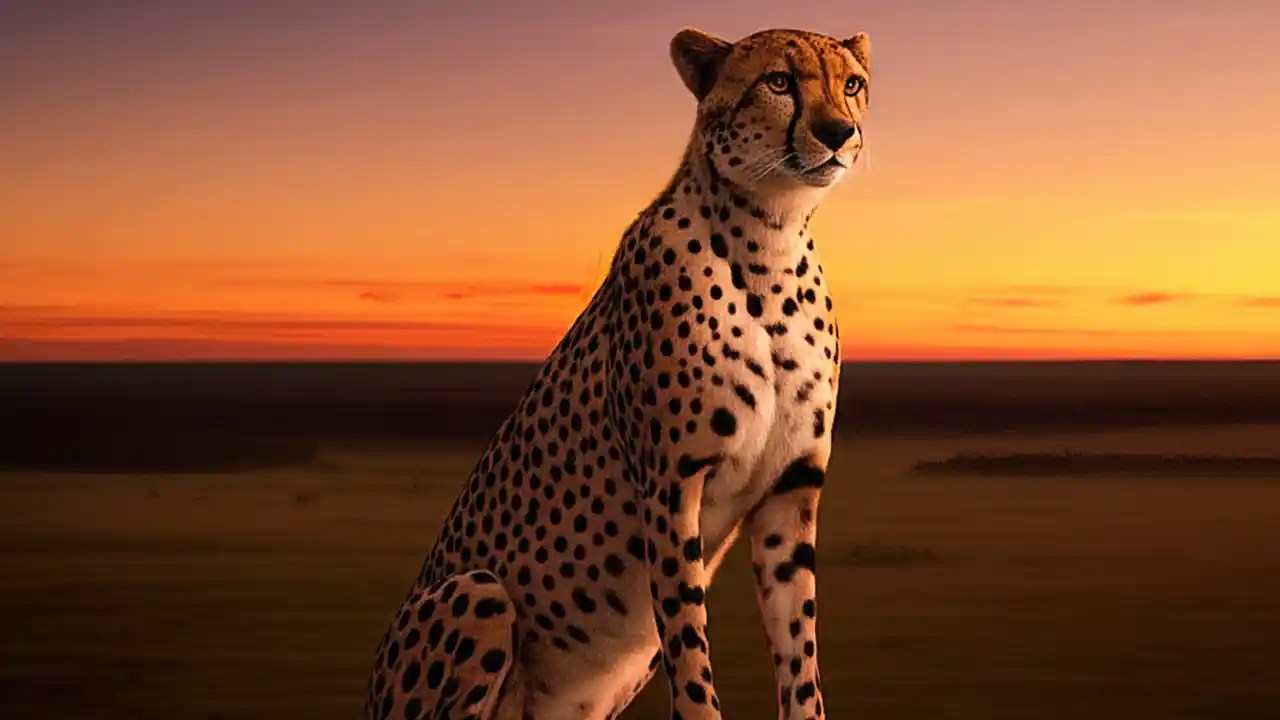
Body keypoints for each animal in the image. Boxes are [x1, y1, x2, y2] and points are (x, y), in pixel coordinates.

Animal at [366, 25, 871, 720]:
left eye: (851, 83)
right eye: (778, 81)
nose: (838, 131)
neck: (769, 246)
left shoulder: (790, 489)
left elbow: (800, 654)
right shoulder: (671, 486)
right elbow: (690, 652)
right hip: (480, 593)